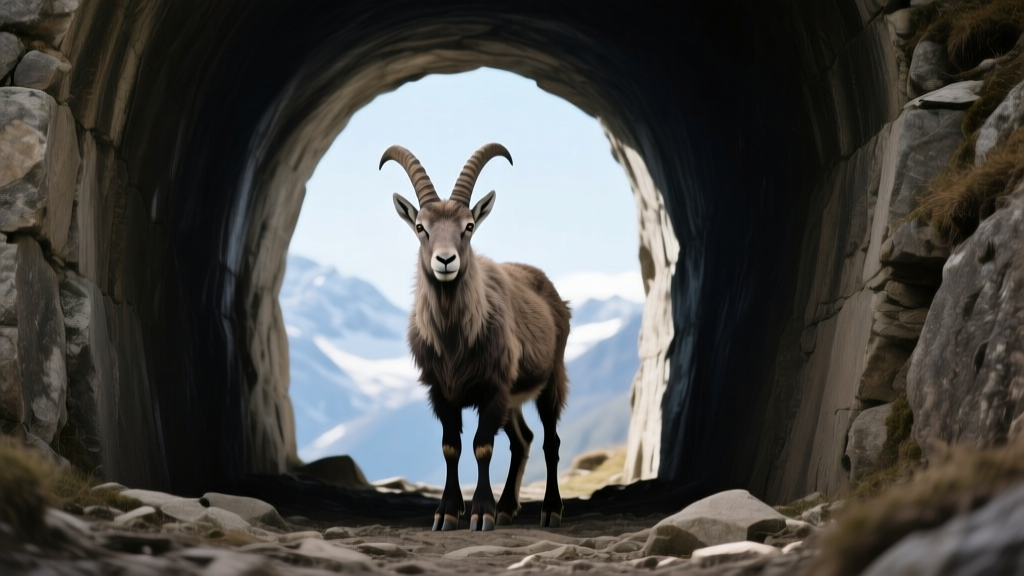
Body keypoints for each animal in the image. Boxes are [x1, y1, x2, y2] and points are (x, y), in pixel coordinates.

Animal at [380, 143, 571, 532]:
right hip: (512, 398)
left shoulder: (492, 388)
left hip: (550, 379)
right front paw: (447, 512)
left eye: (468, 226)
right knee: (523, 440)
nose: (445, 260)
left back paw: (550, 509)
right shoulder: (441, 391)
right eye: (420, 227)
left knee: (550, 441)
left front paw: (482, 513)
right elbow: (450, 447)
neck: (455, 341)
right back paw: (509, 506)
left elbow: (482, 446)